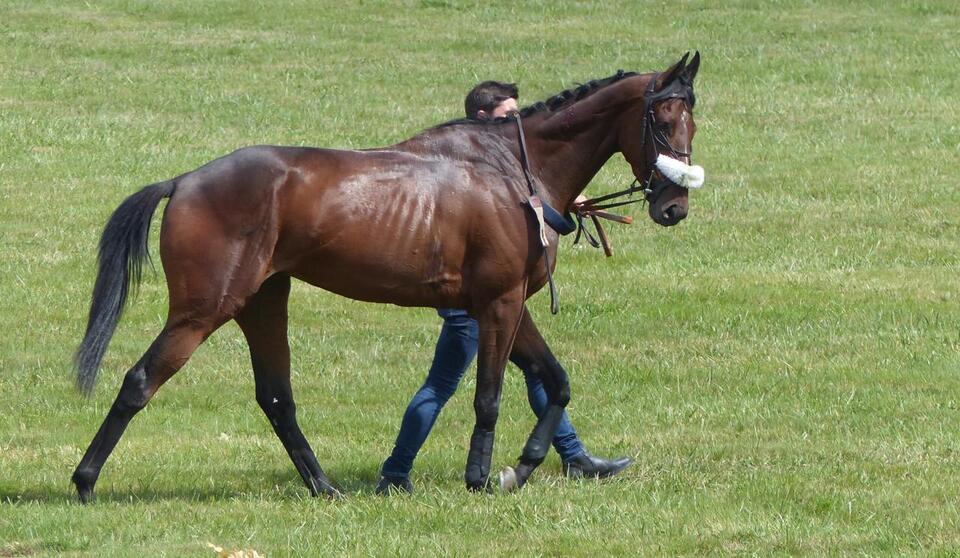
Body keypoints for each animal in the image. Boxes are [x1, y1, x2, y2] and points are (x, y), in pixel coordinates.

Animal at [71, 52, 702, 502]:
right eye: (663, 118)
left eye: (694, 120)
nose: (674, 207)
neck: (509, 170)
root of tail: (184, 181)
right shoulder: (499, 304)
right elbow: (490, 395)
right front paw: (483, 476)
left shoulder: (509, 304)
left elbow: (557, 381)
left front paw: (523, 468)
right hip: (205, 309)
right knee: (140, 380)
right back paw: (85, 481)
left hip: (262, 302)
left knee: (276, 397)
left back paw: (324, 487)